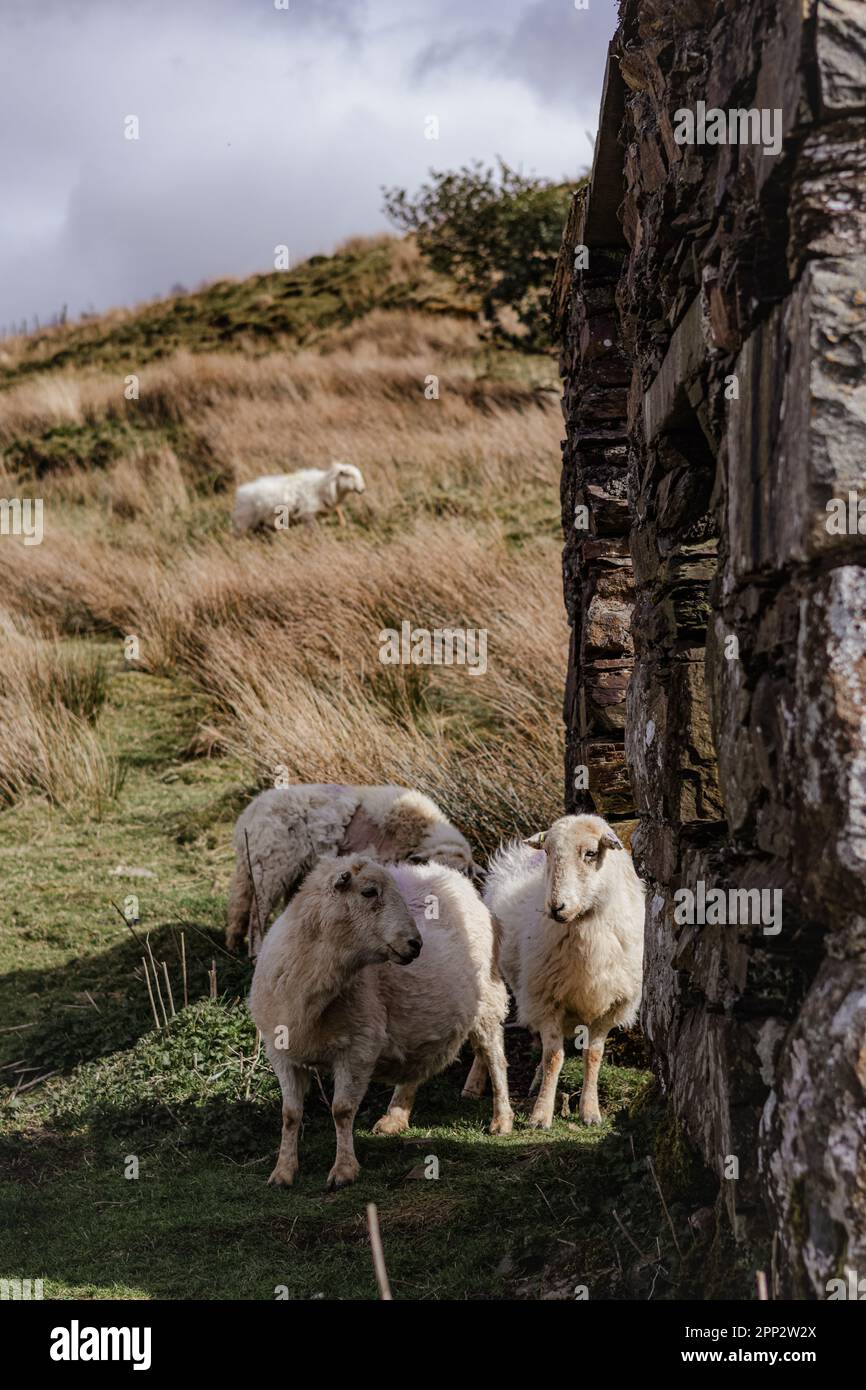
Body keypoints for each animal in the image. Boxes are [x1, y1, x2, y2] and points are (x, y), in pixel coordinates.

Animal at [226, 782, 478, 955]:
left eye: (465, 873)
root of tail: (247, 816)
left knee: (241, 905)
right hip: (271, 869)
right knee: (257, 914)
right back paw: (256, 952)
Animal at [231, 461, 365, 534]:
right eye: (349, 475)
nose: (362, 489)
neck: (324, 485)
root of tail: (240, 492)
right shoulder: (308, 515)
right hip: (243, 520)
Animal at [249, 853, 513, 1188]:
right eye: (368, 892)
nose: (416, 944)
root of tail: (454, 876)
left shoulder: (358, 1048)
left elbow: (342, 1110)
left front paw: (344, 1171)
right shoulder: (280, 1051)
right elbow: (290, 1114)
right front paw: (282, 1172)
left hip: (488, 1002)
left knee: (495, 1057)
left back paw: (502, 1119)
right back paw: (395, 1117)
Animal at [483, 814, 644, 1130]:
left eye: (591, 853)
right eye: (548, 852)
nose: (556, 907)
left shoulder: (611, 1005)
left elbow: (593, 1056)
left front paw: (590, 1111)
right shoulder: (547, 999)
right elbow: (553, 1058)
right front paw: (540, 1114)